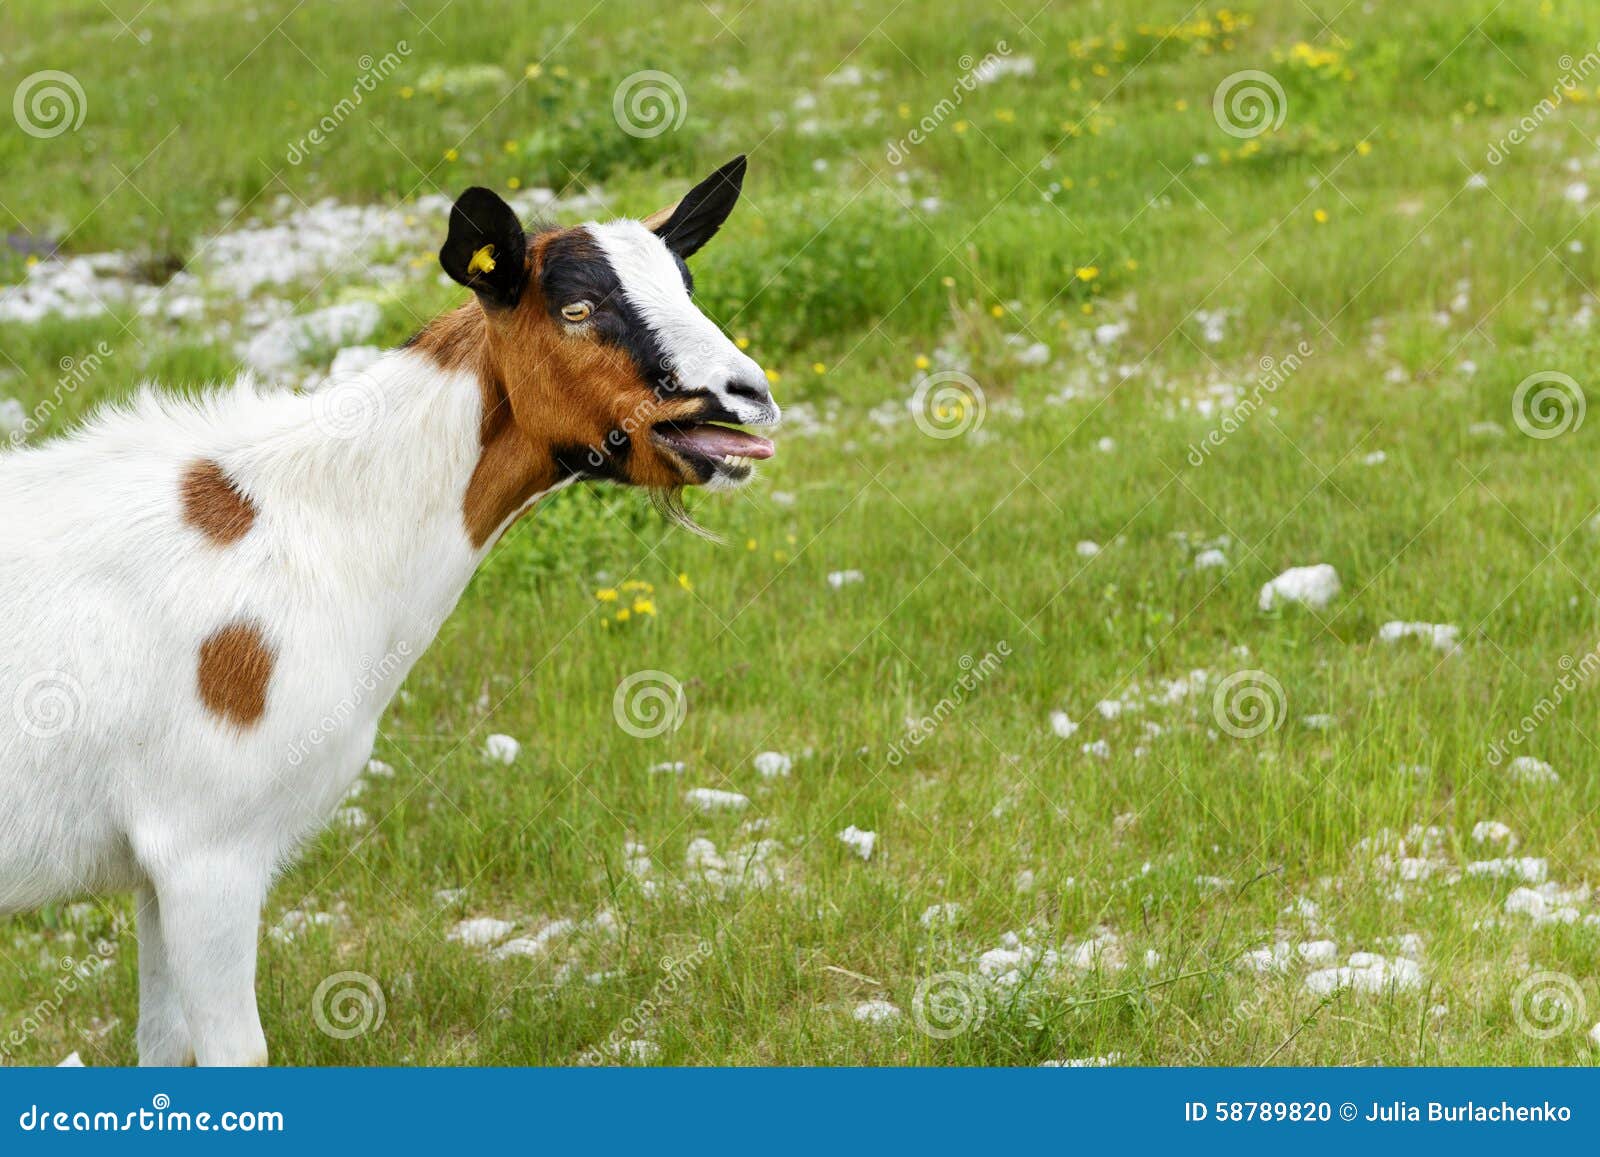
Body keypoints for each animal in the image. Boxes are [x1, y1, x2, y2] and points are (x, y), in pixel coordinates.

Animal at [0, 157, 779, 1065]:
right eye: (577, 309)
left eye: (685, 283)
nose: (747, 394)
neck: (314, 521)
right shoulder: (207, 844)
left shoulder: (159, 861)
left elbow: (162, 1045)